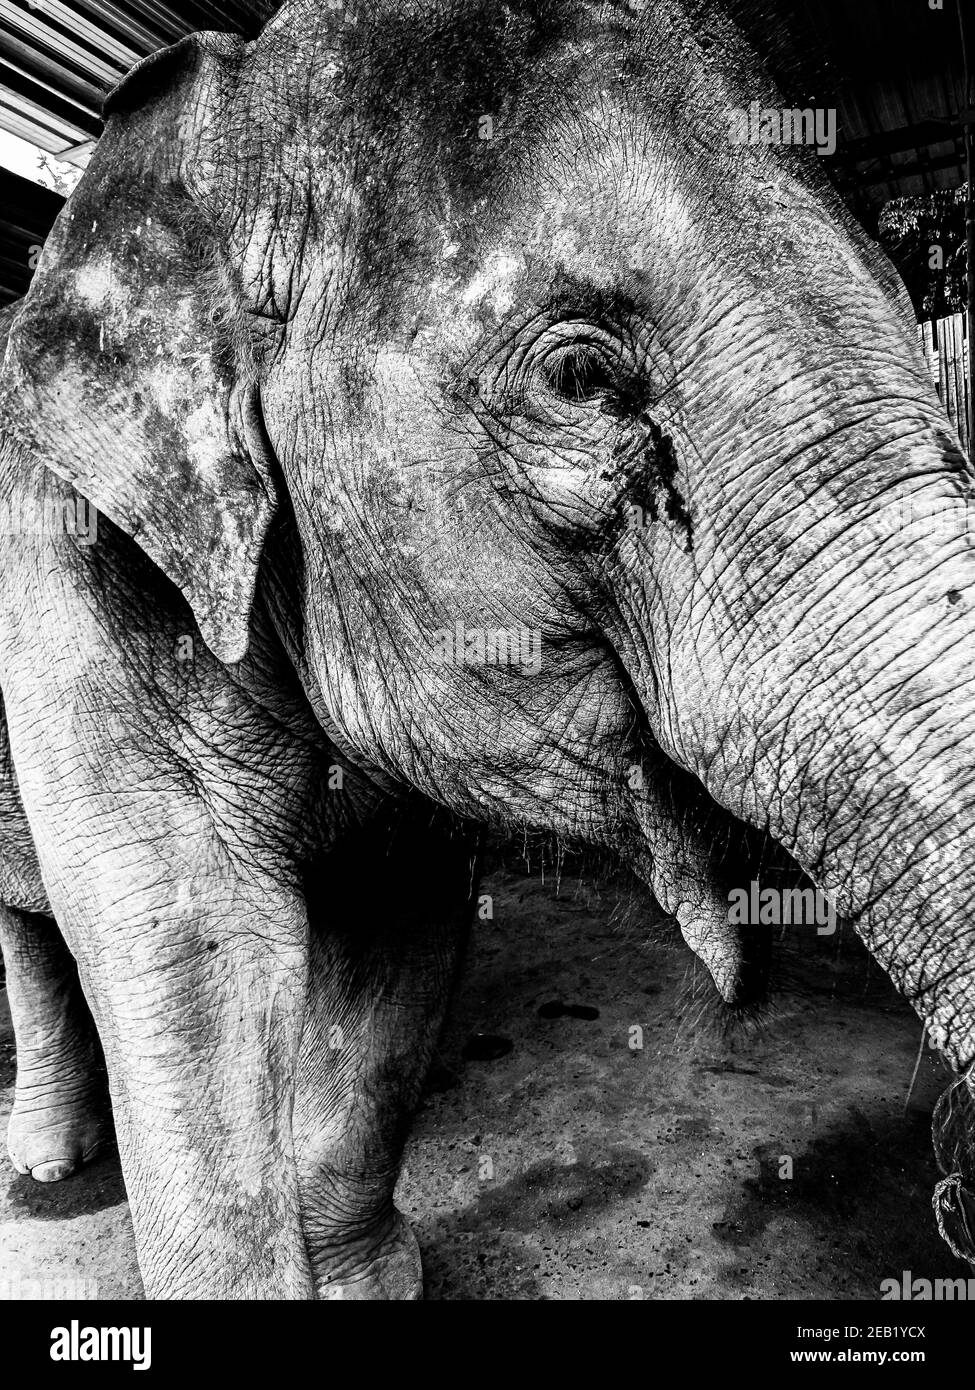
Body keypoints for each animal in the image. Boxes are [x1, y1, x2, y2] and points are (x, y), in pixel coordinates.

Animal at [0, 0, 974, 1297]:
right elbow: (193, 955)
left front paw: (369, 1283)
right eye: (581, 375)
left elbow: (399, 936)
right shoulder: (68, 571)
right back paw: (52, 1166)